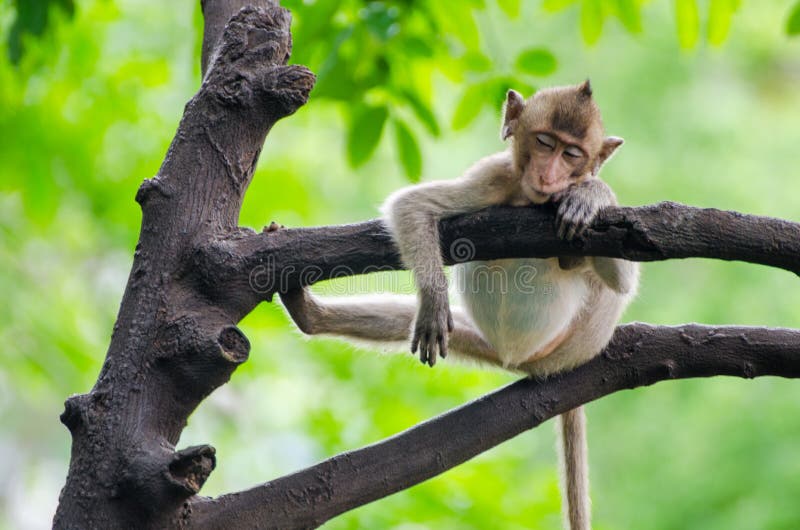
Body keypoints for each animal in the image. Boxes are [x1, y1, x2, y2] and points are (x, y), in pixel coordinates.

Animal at [279, 80, 639, 530]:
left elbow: (622, 279)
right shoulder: (491, 176)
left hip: (574, 342)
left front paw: (592, 193)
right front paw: (435, 298)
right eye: (544, 143)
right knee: (413, 321)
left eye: (572, 154)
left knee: (601, 285)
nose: (549, 175)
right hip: (483, 342)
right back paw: (313, 315)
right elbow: (412, 208)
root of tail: (519, 358)